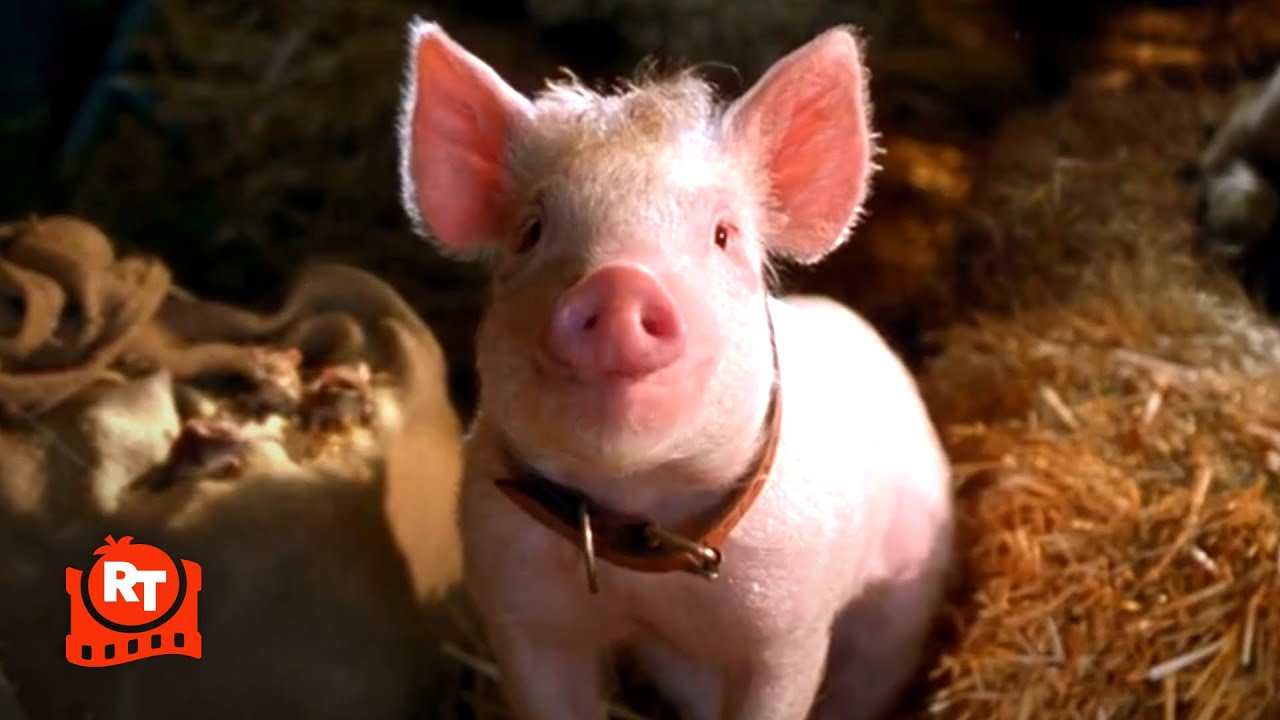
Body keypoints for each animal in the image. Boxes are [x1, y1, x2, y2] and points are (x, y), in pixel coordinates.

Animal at [398, 18, 954, 720]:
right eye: (531, 231)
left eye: (723, 235)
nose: (618, 282)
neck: (641, 519)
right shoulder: (517, 602)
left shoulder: (788, 624)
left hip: (912, 577)